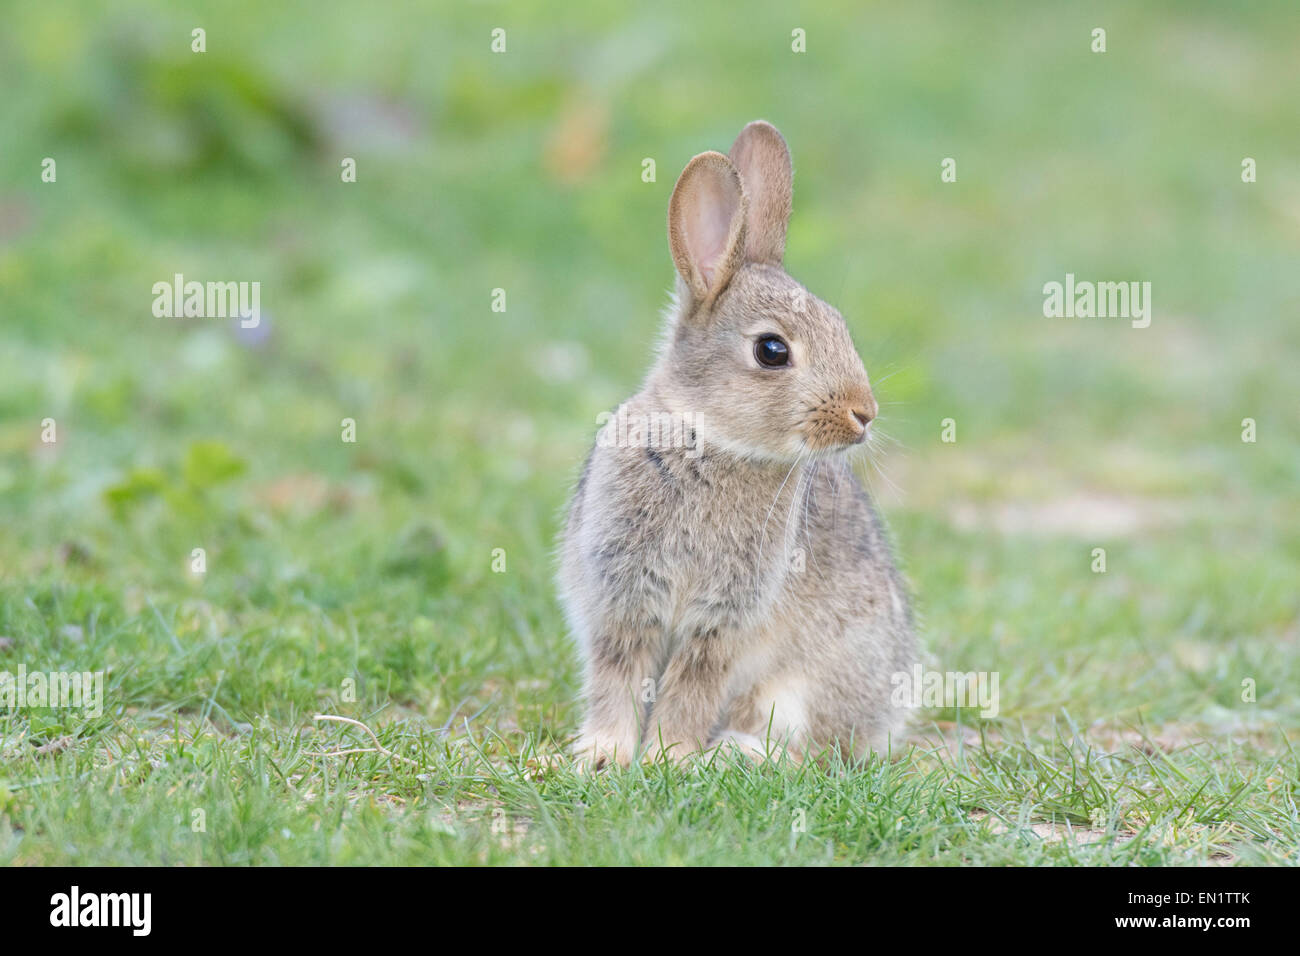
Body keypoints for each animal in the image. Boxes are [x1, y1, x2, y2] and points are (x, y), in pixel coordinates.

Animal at [559, 120, 917, 769]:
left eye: (840, 326)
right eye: (772, 350)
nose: (864, 415)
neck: (711, 440)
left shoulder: (723, 619)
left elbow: (692, 688)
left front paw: (667, 757)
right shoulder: (622, 597)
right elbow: (616, 676)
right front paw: (604, 755)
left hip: (800, 687)